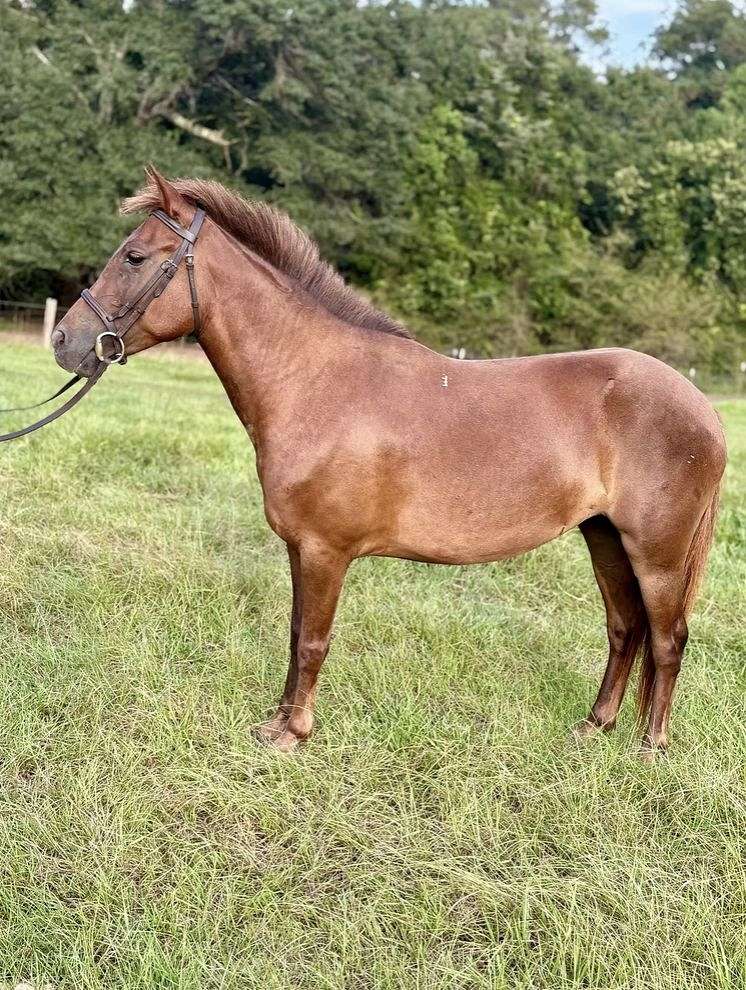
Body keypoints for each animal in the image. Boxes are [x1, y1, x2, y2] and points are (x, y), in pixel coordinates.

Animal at [51, 167, 726, 759]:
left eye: (135, 257)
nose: (65, 341)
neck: (314, 381)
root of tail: (704, 408)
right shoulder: (300, 548)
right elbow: (294, 632)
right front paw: (277, 721)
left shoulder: (326, 550)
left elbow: (313, 641)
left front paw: (293, 735)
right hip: (605, 537)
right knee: (625, 629)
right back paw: (594, 726)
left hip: (656, 553)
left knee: (668, 639)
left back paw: (650, 747)